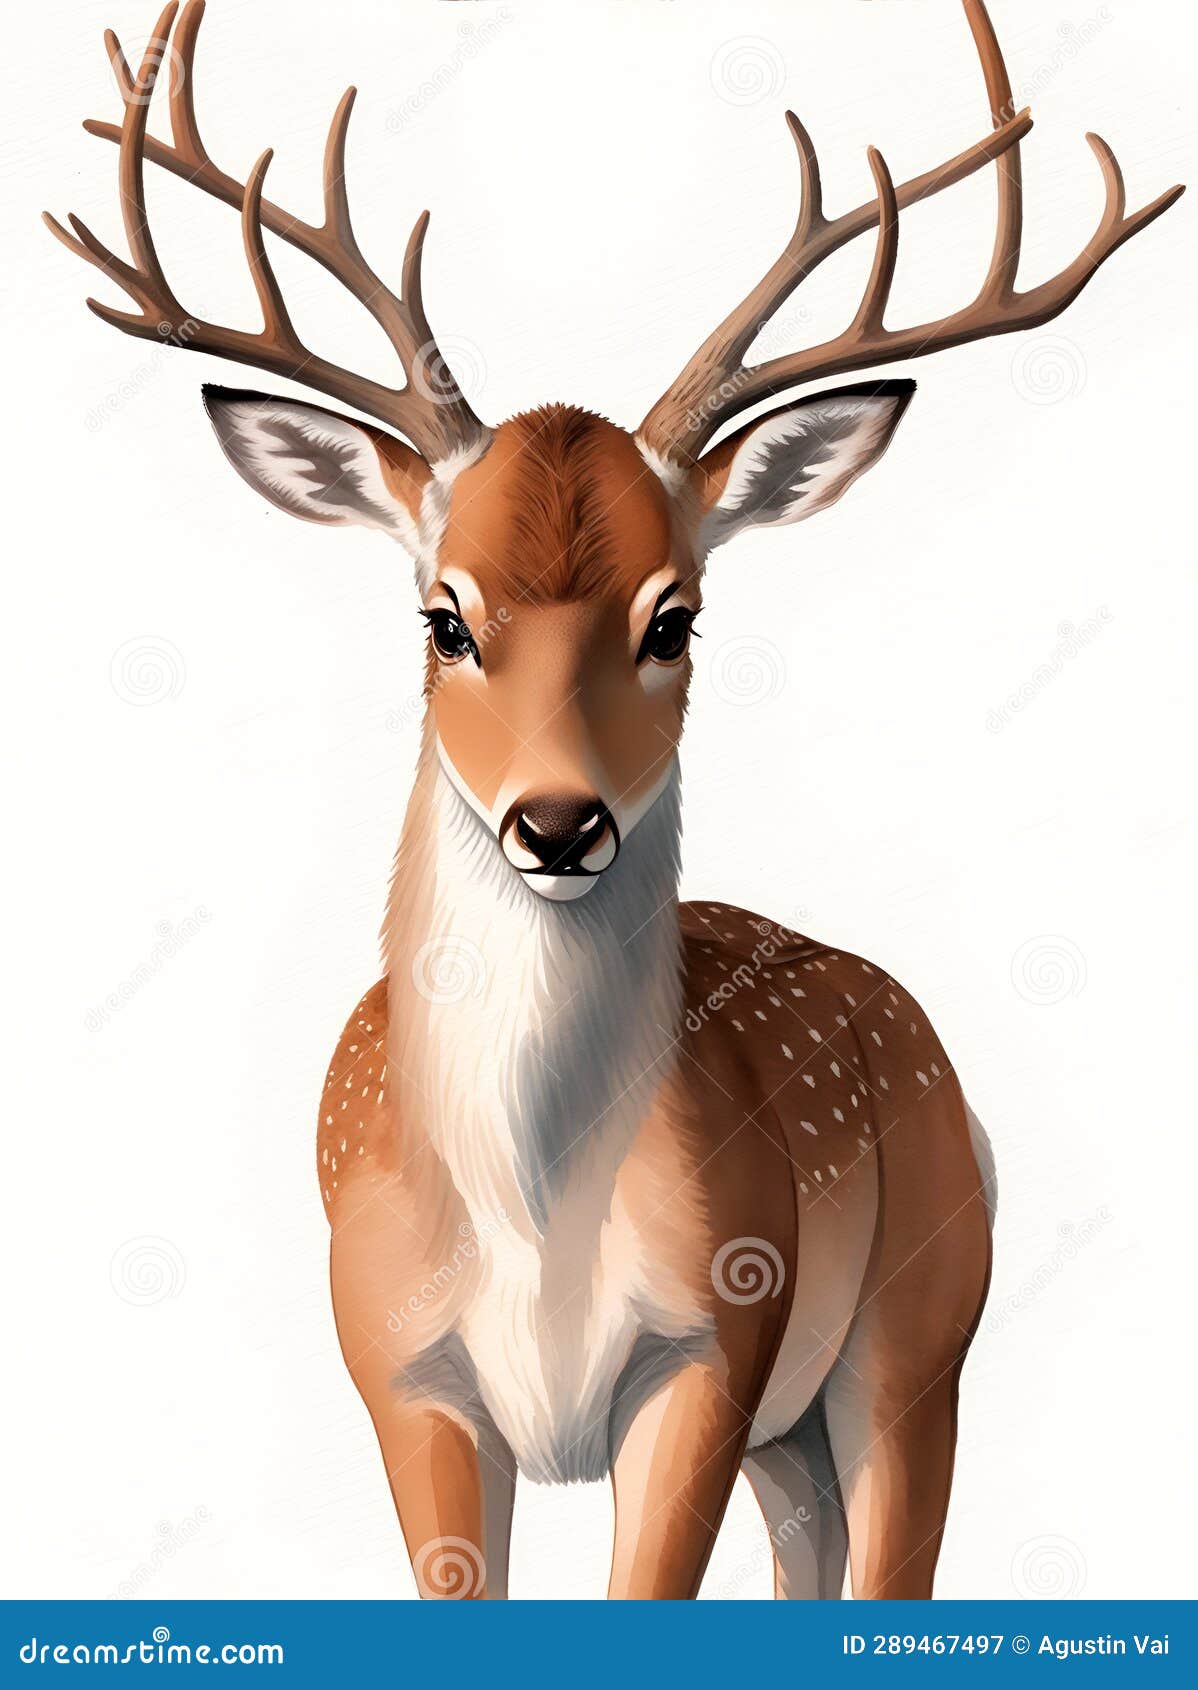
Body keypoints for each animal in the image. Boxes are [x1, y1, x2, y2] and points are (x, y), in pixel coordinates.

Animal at [48, 0, 1181, 1600]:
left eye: (674, 616)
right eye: (444, 617)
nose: (559, 823)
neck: (538, 1225)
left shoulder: (708, 1346)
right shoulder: (399, 1364)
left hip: (912, 1341)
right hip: (795, 1437)